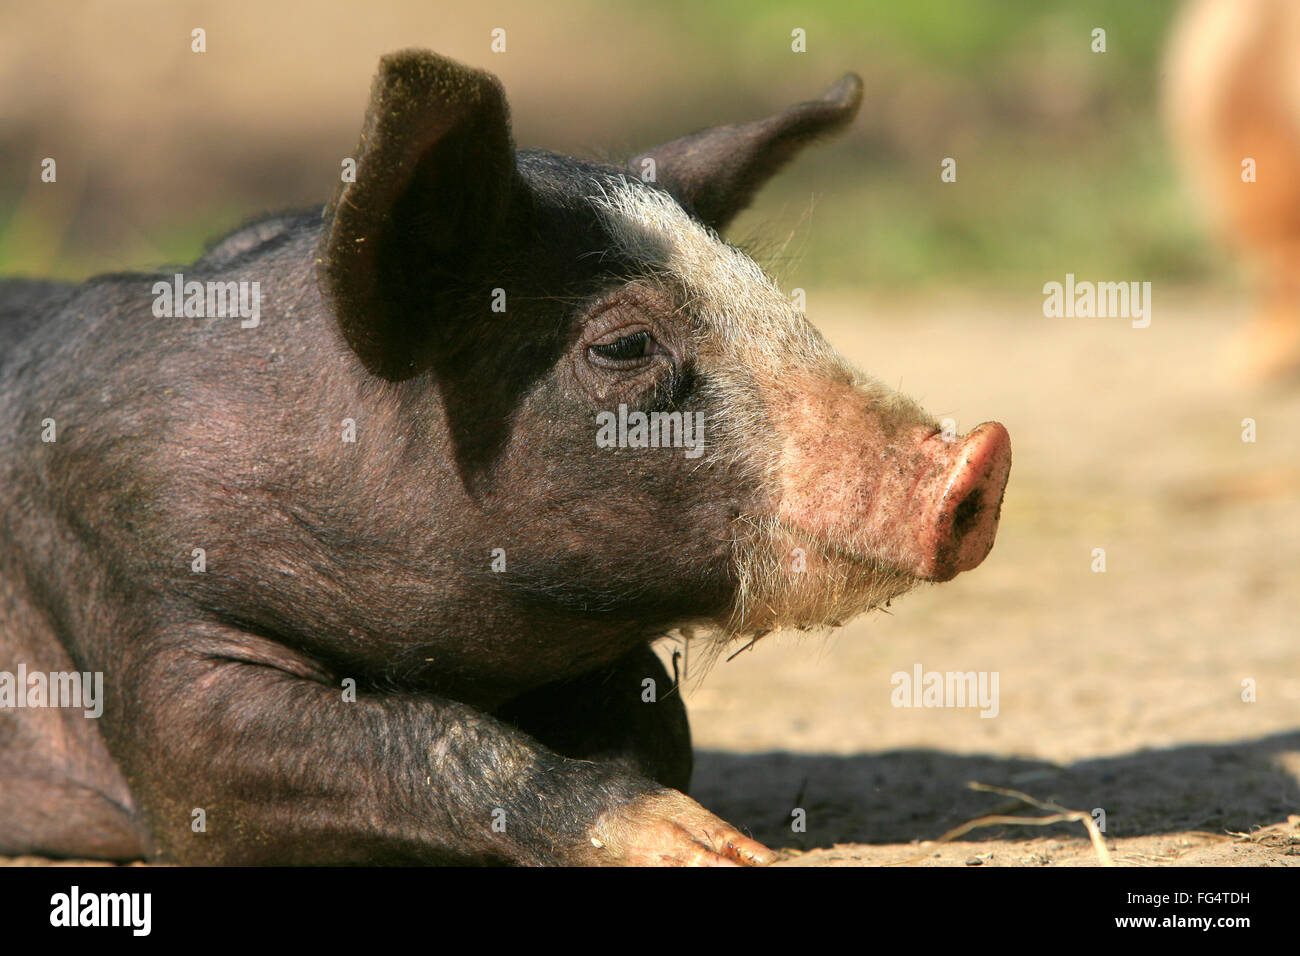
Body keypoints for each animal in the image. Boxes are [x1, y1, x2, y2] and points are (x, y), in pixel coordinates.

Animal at [0, 50, 1011, 866]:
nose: (983, 454)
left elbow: (659, 719)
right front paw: (714, 849)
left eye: (772, 294)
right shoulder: (136, 597)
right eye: (624, 345)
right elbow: (345, 745)